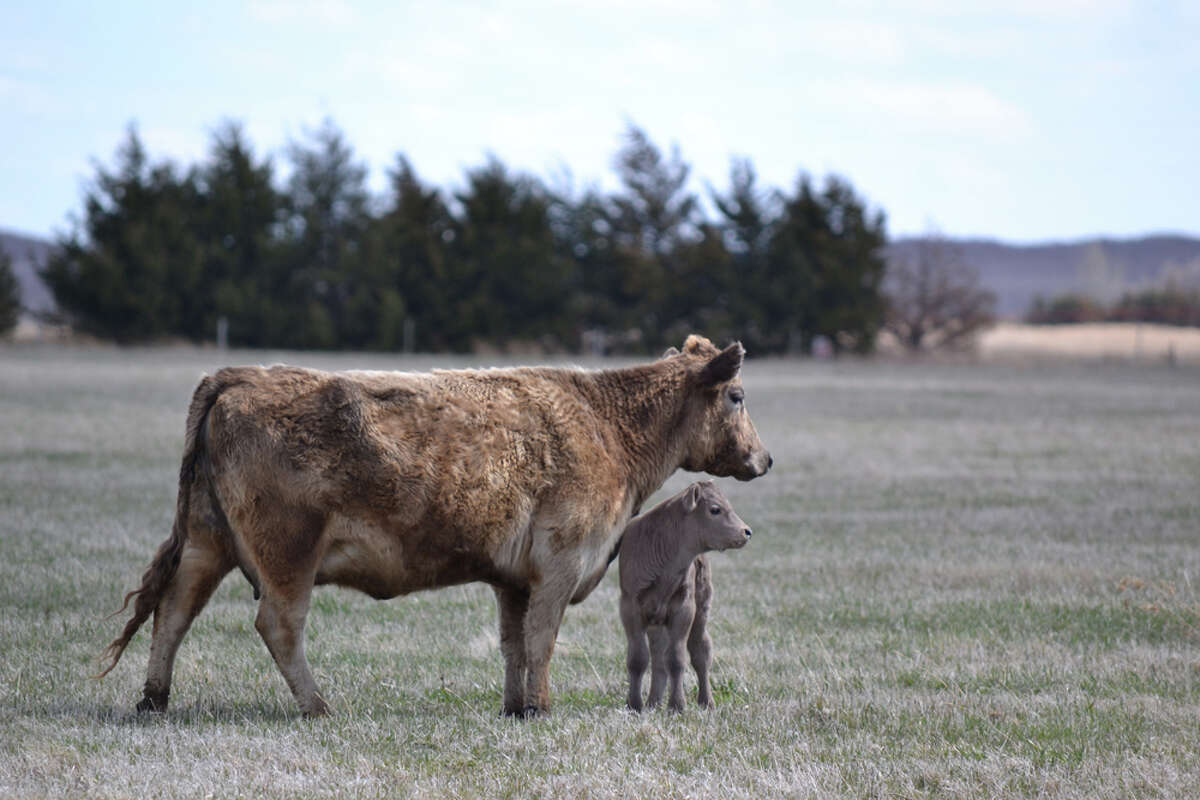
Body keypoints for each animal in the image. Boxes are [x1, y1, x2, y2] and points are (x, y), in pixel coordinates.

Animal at [618, 481, 751, 713]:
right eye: (715, 509)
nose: (746, 532)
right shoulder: (630, 608)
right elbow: (638, 658)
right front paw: (634, 705)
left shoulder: (683, 609)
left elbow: (677, 658)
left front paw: (677, 705)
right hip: (656, 623)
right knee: (658, 657)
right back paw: (653, 703)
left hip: (701, 611)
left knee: (700, 651)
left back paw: (706, 702)